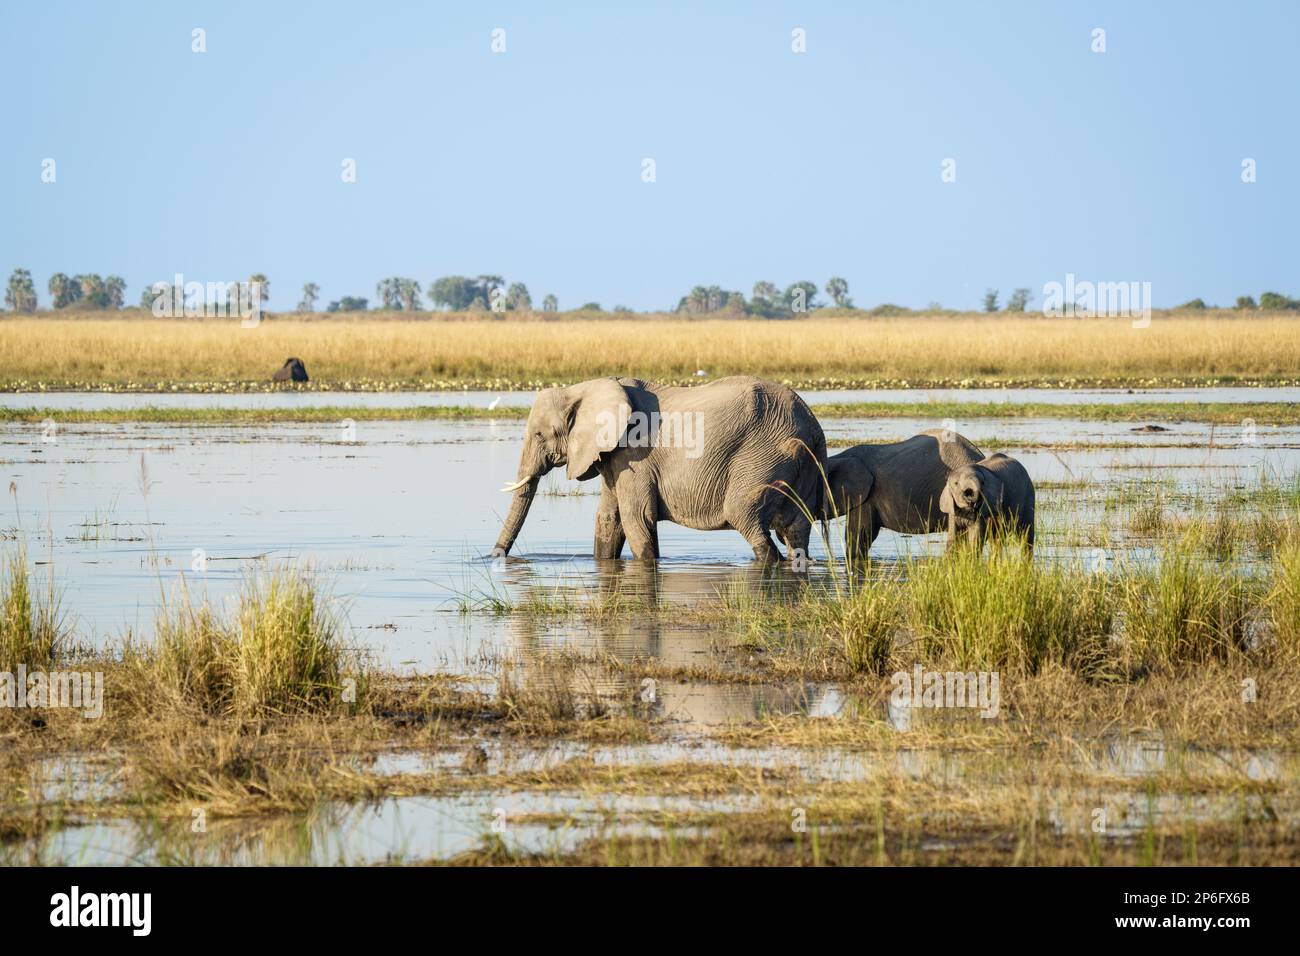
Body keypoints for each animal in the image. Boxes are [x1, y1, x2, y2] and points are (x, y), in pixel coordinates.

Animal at [493, 376, 827, 563]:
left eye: (539, 435)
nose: (493, 557)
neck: (582, 388)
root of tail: (812, 425)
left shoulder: (635, 454)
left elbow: (636, 517)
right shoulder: (613, 456)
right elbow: (609, 519)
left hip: (763, 457)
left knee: (744, 517)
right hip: (802, 465)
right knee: (796, 530)